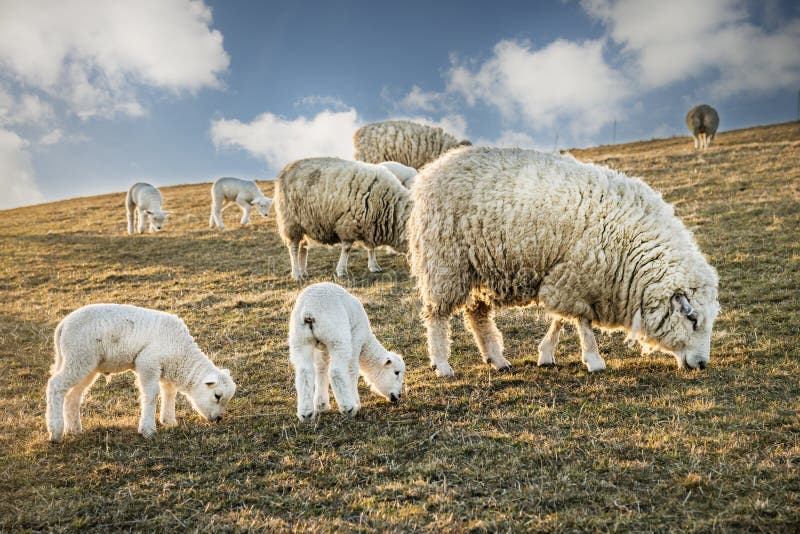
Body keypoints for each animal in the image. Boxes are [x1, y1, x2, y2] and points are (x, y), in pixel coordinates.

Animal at [46, 304, 236, 442]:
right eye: (217, 396)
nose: (218, 419)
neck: (181, 353)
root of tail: (62, 325)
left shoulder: (166, 368)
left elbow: (169, 392)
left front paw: (168, 421)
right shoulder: (148, 363)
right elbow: (151, 395)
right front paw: (148, 430)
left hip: (85, 364)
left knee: (73, 395)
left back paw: (74, 430)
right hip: (78, 356)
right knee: (56, 386)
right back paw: (56, 432)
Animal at [274, 157, 412, 280]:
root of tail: (286, 169)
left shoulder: (370, 225)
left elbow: (370, 248)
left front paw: (373, 266)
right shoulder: (348, 226)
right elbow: (346, 249)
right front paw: (341, 271)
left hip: (304, 224)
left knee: (303, 247)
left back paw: (303, 272)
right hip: (291, 222)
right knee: (293, 248)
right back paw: (296, 274)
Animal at [289, 282, 405, 421]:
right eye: (396, 372)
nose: (398, 396)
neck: (366, 342)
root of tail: (308, 311)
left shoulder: (320, 348)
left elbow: (321, 369)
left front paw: (321, 405)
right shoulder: (356, 338)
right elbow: (352, 370)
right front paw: (356, 403)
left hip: (300, 339)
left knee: (304, 372)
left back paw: (306, 413)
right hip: (337, 337)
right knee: (336, 372)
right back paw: (348, 408)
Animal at [408, 146, 720, 377]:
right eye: (692, 319)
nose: (702, 363)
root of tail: (431, 170)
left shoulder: (564, 275)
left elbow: (561, 317)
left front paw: (546, 353)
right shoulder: (577, 275)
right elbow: (582, 322)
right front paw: (593, 359)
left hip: (479, 269)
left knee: (477, 315)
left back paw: (497, 359)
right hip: (445, 262)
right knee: (436, 316)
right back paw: (442, 364)